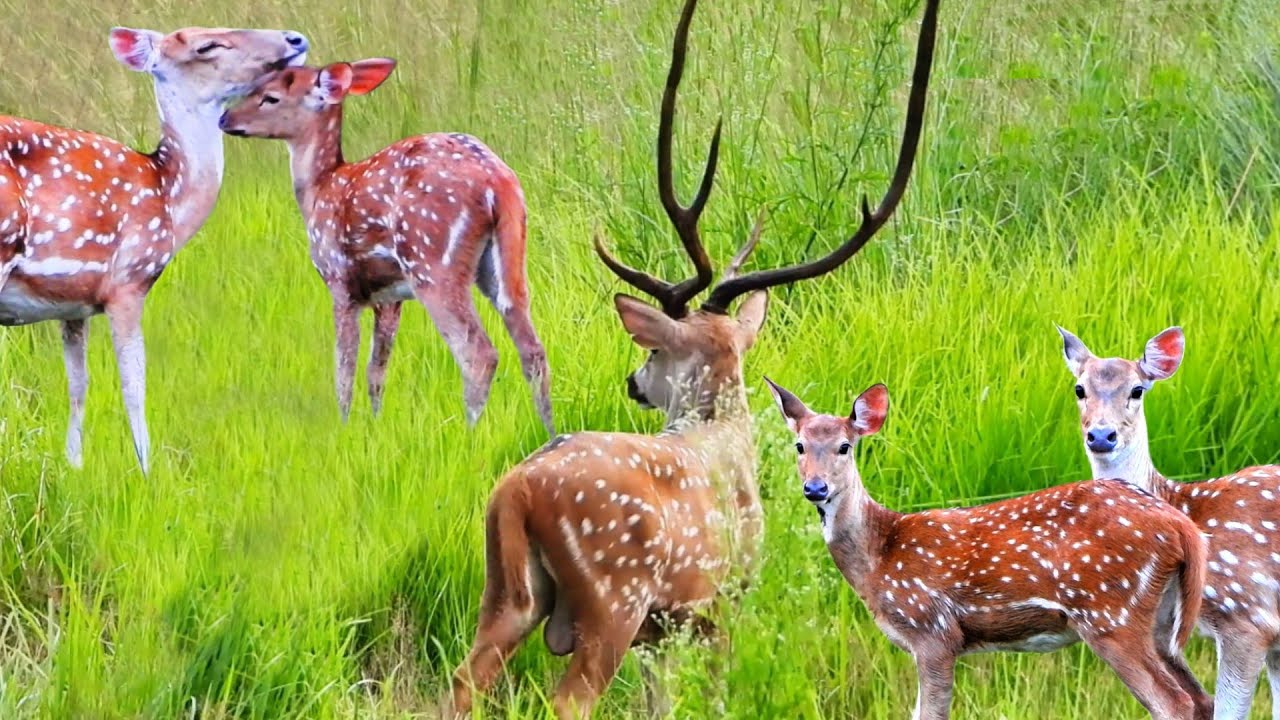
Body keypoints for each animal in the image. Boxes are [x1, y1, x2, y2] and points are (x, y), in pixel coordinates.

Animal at [0, 26, 310, 475]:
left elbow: (78, 384)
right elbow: (135, 383)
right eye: (206, 45)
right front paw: (147, 471)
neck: (167, 193)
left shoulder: (72, 302)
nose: (295, 39)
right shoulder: (128, 281)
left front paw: (74, 466)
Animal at [216, 59, 554, 434]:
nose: (225, 119)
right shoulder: (389, 297)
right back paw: (548, 430)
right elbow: (375, 371)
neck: (321, 189)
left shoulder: (339, 280)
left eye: (271, 96)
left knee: (479, 354)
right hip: (506, 257)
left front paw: (344, 427)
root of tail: (496, 181)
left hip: (431, 260)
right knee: (532, 348)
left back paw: (470, 434)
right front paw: (373, 425)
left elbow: (344, 370)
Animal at [445, 0, 941, 715]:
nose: (632, 381)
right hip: (612, 597)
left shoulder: (664, 630)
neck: (722, 431)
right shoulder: (725, 599)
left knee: (463, 680)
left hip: (509, 595)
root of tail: (517, 491)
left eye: (651, 350)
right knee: (569, 698)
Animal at [765, 378, 1212, 720]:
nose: (816, 488)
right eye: (799, 446)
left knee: (1175, 703)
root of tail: (1179, 526)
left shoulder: (933, 630)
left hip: (1110, 612)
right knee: (1201, 698)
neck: (880, 556)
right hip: (1160, 620)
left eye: (845, 446)